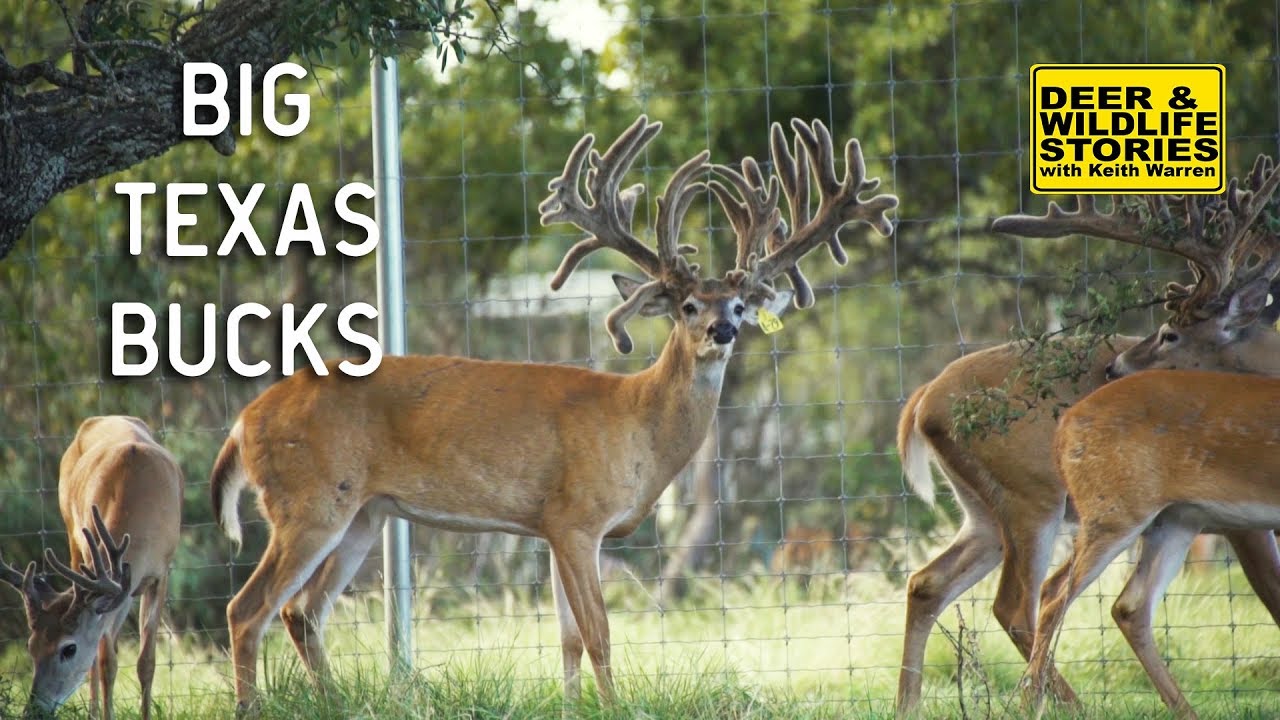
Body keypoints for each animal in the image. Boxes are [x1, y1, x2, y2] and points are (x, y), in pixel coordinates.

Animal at [0, 416, 184, 720]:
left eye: (69, 649)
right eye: (30, 646)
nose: (34, 710)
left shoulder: (160, 572)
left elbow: (146, 661)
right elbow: (107, 662)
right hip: (74, 540)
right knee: (99, 657)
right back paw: (94, 711)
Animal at [208, 114, 899, 712]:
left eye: (738, 305)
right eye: (686, 307)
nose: (723, 332)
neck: (638, 423)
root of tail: (242, 423)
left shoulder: (547, 528)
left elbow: (566, 639)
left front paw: (574, 708)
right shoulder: (576, 517)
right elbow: (598, 632)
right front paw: (616, 709)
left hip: (363, 513)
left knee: (302, 612)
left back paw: (330, 702)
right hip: (308, 500)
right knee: (247, 608)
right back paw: (250, 705)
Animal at [1026, 368, 1280, 719]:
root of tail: (1063, 426)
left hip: (1177, 520)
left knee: (1131, 605)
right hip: (1117, 512)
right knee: (1054, 595)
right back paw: (1029, 704)